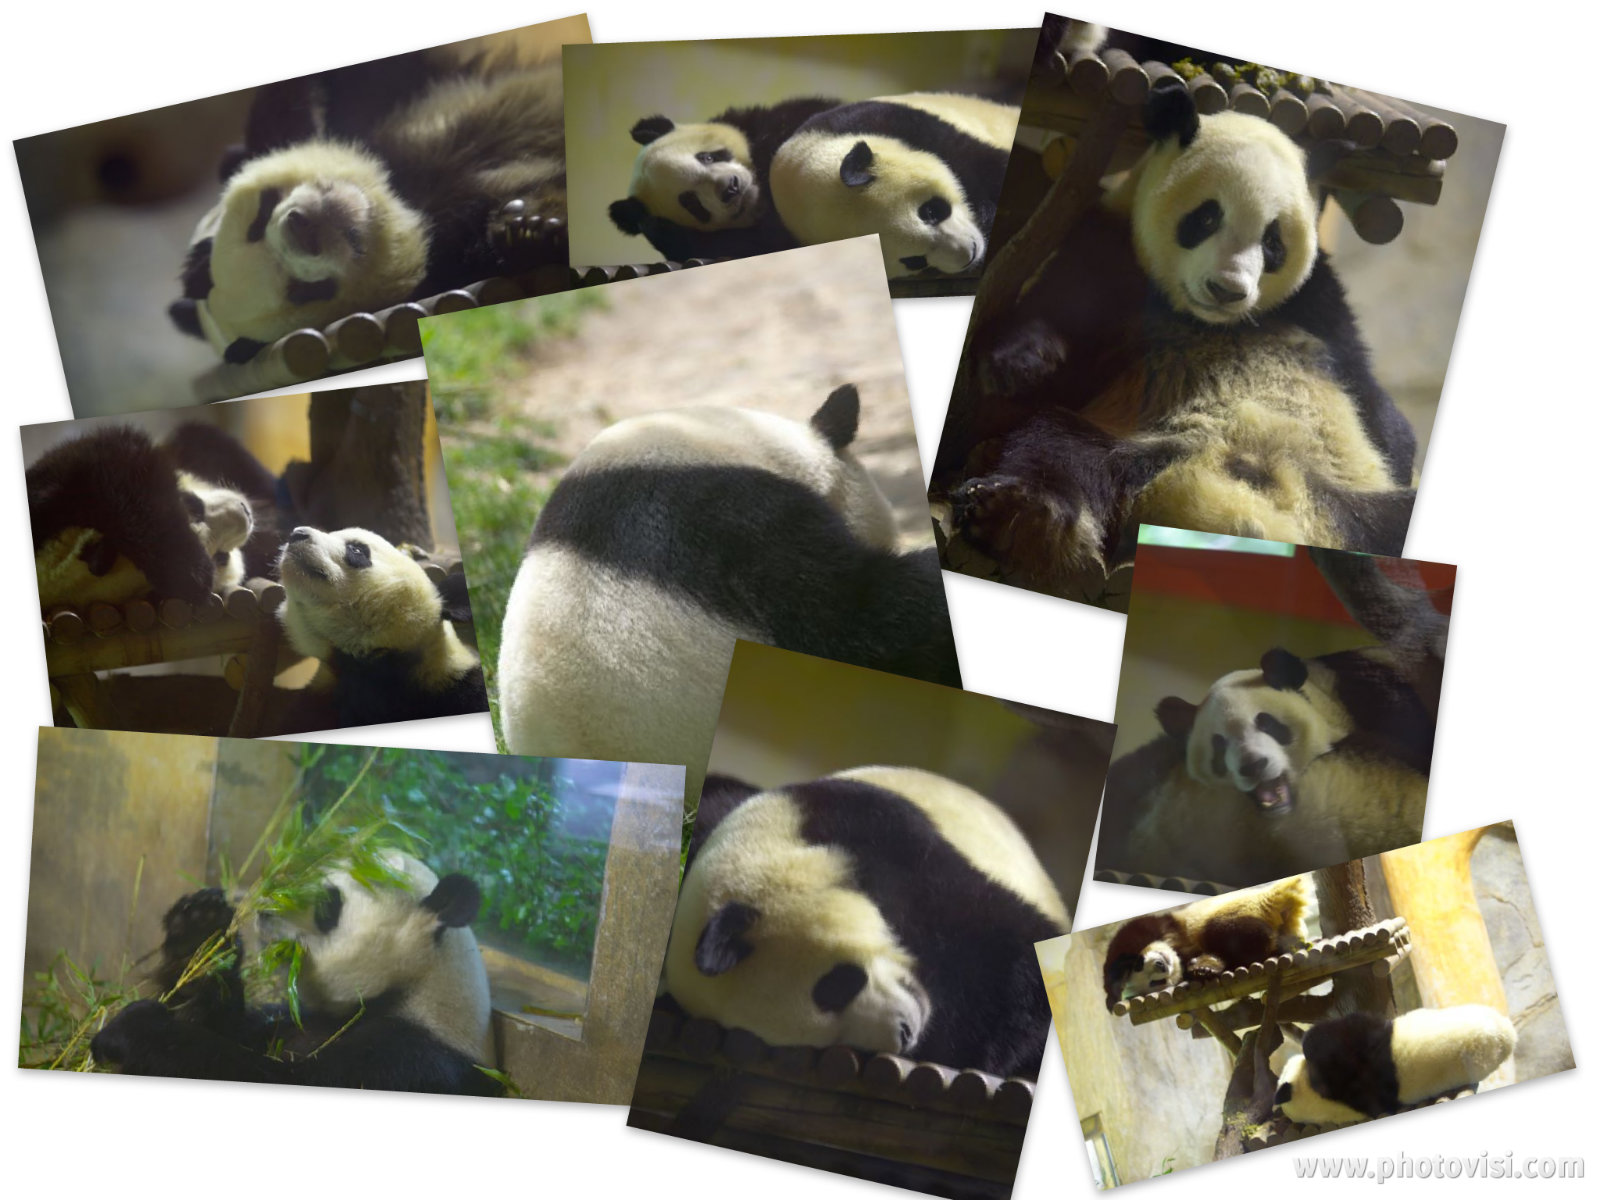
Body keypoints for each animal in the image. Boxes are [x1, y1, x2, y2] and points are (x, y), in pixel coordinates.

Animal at [89, 850, 500, 1094]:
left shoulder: (409, 1059)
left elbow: (267, 1074)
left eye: (327, 902)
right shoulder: (287, 1018)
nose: (267, 908)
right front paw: (201, 929)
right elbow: (221, 1022)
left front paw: (136, 1026)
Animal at [172, 49, 568, 363]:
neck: (411, 211)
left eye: (260, 215)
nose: (301, 225)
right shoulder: (452, 260)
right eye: (303, 290)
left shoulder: (394, 95)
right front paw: (529, 229)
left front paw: (530, 223)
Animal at [948, 80, 1417, 598]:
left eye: (1272, 241)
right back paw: (1019, 516)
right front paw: (1021, 364)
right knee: (1060, 448)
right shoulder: (1110, 253)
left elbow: (1367, 389)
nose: (1228, 290)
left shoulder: (1314, 303)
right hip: (1140, 447)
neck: (1208, 320)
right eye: (1207, 218)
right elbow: (1057, 331)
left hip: (1353, 502)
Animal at [1101, 875, 1309, 1011]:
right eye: (1156, 982)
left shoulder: (1160, 925)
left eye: (1139, 964)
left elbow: (1129, 935)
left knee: (1226, 932)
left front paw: (1112, 994)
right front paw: (1204, 968)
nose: (1161, 965)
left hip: (1241, 908)